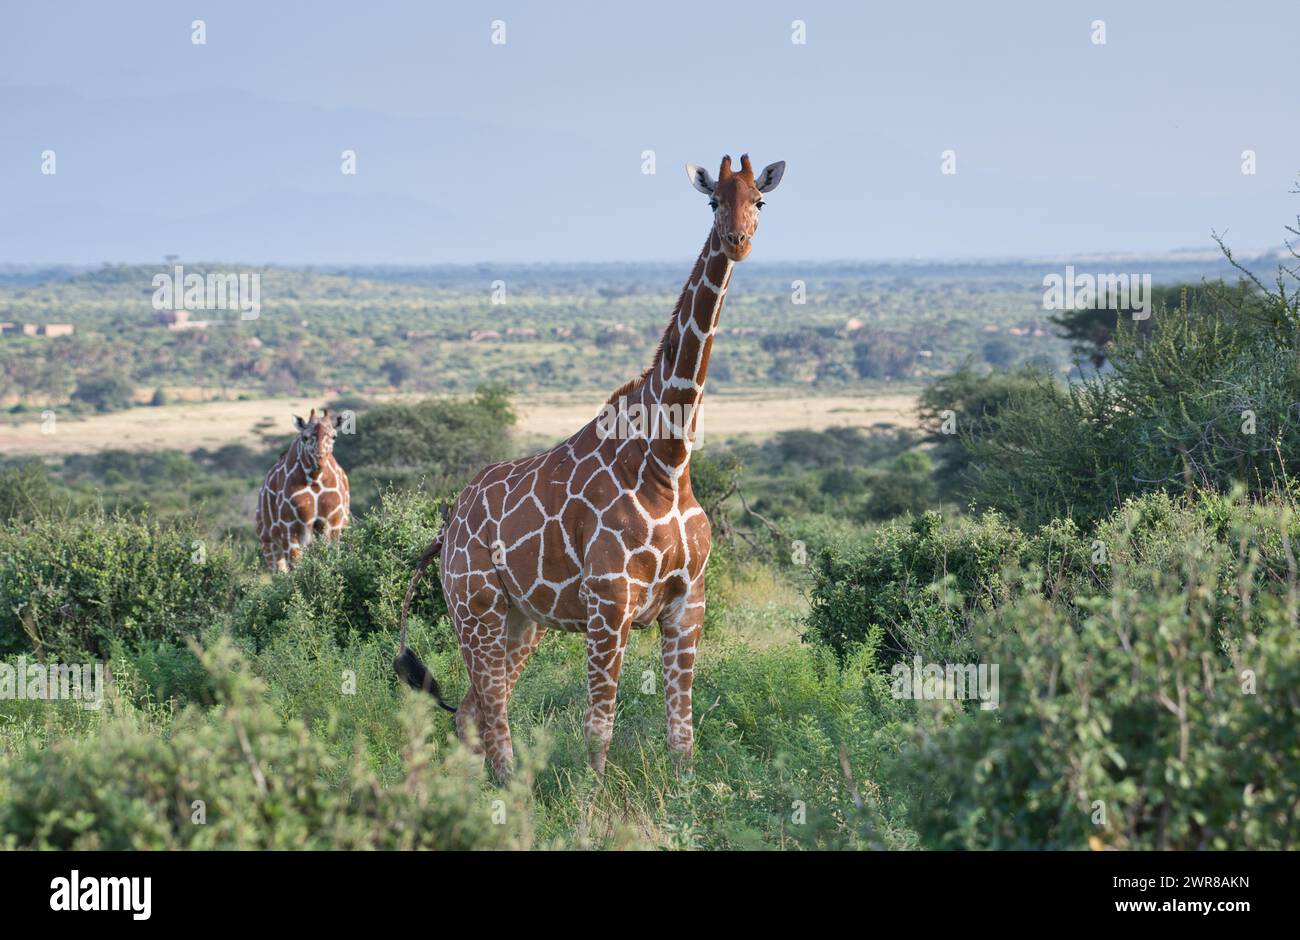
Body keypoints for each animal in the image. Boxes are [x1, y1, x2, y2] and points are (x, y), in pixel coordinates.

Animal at [254, 408, 350, 572]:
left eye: (334, 436)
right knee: (279, 572)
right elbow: (297, 567)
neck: (315, 479)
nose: (319, 458)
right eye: (305, 437)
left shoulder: (333, 522)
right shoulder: (289, 527)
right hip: (267, 541)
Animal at [396, 154, 786, 780]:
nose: (738, 239)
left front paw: (686, 797)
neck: (667, 463)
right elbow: (598, 728)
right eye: (712, 201)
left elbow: (683, 733)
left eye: (760, 200)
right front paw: (590, 800)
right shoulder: (609, 603)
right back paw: (507, 792)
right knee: (491, 713)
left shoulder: (688, 603)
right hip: (475, 607)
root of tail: (445, 528)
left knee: (473, 713)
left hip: (520, 620)